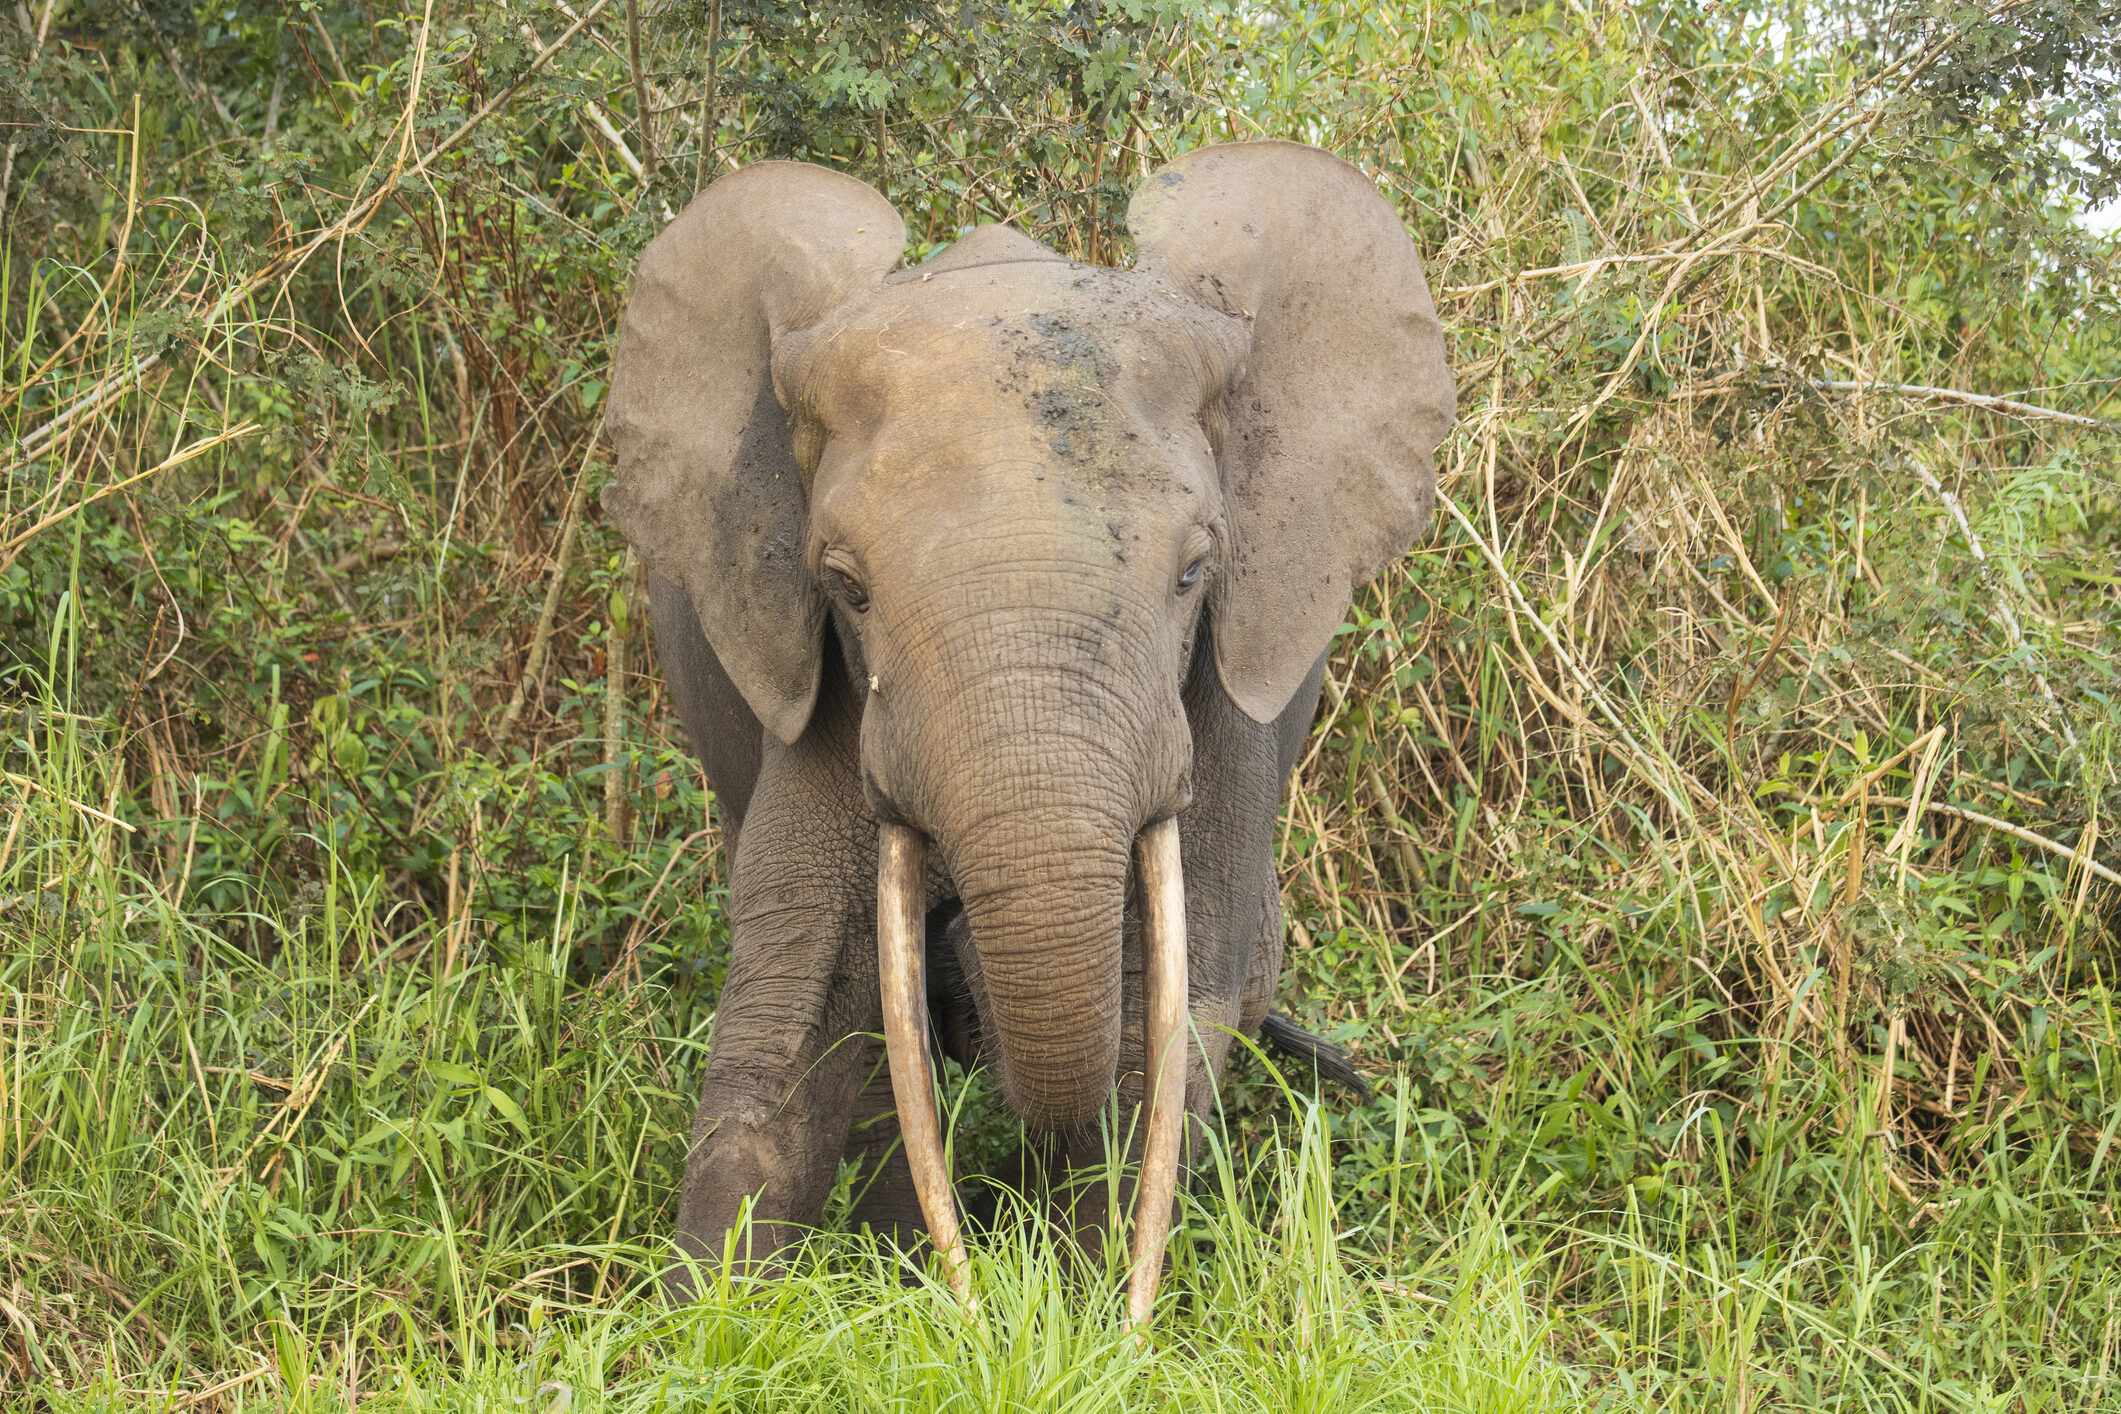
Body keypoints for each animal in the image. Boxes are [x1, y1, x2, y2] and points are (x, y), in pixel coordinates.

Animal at [601, 139, 1455, 1311]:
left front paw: (1095, 1317)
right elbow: (803, 1002)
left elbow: (1167, 1005)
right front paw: (714, 1326)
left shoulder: (1229, 694)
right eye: (844, 586)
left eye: (1196, 569)